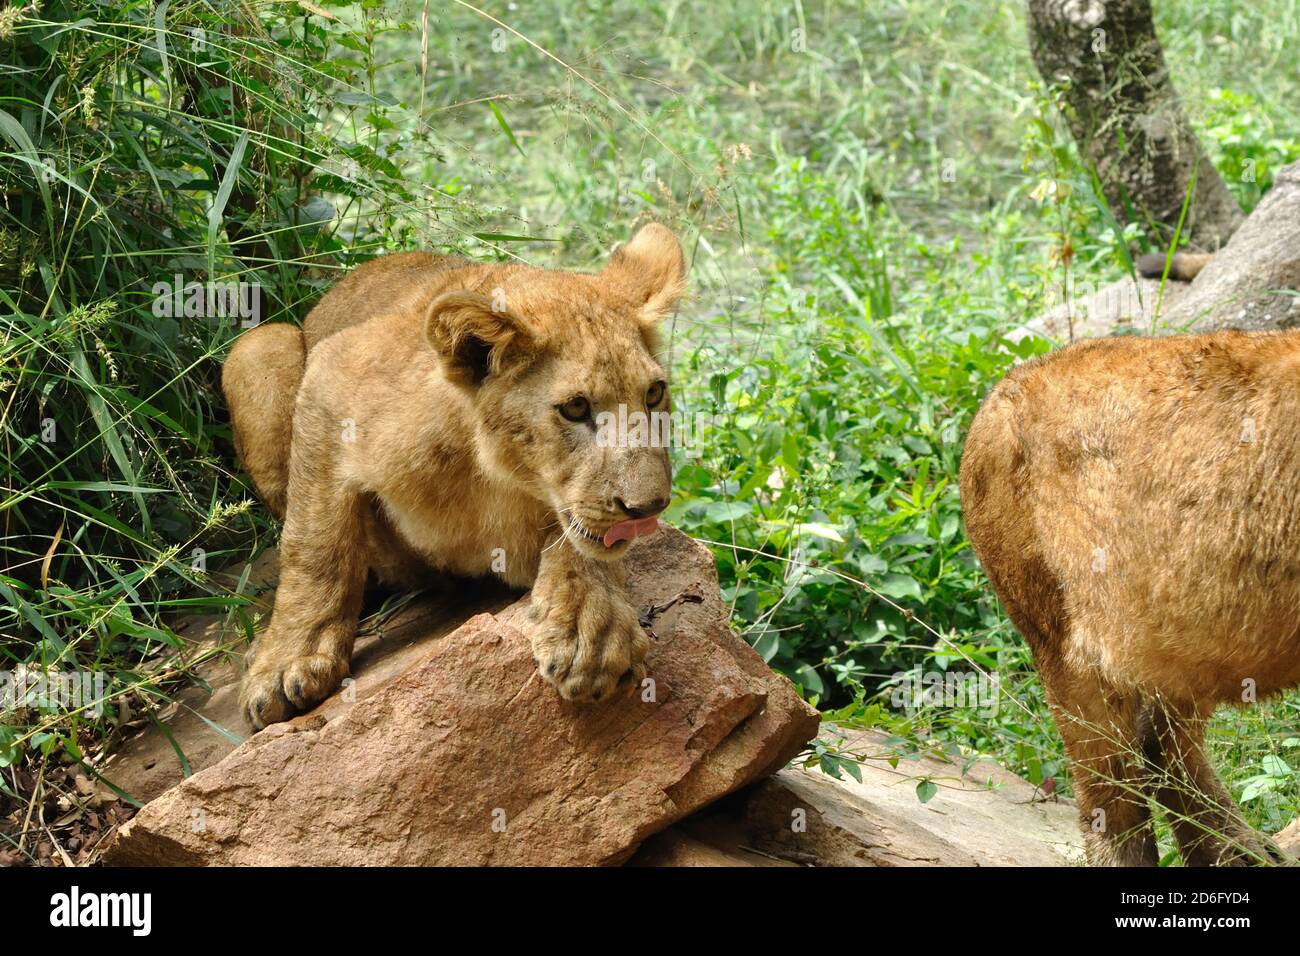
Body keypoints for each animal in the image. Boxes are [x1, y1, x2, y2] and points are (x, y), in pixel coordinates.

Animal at [222, 224, 685, 729]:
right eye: (576, 407)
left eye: (654, 393)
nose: (650, 508)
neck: (493, 473)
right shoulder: (332, 376)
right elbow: (314, 542)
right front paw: (286, 663)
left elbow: (577, 545)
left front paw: (591, 627)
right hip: (258, 346)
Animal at [960, 329, 1300, 865]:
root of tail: (1002, 386)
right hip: (1064, 641)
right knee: (1111, 792)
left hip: (1171, 641)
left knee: (1160, 742)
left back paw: (1238, 852)